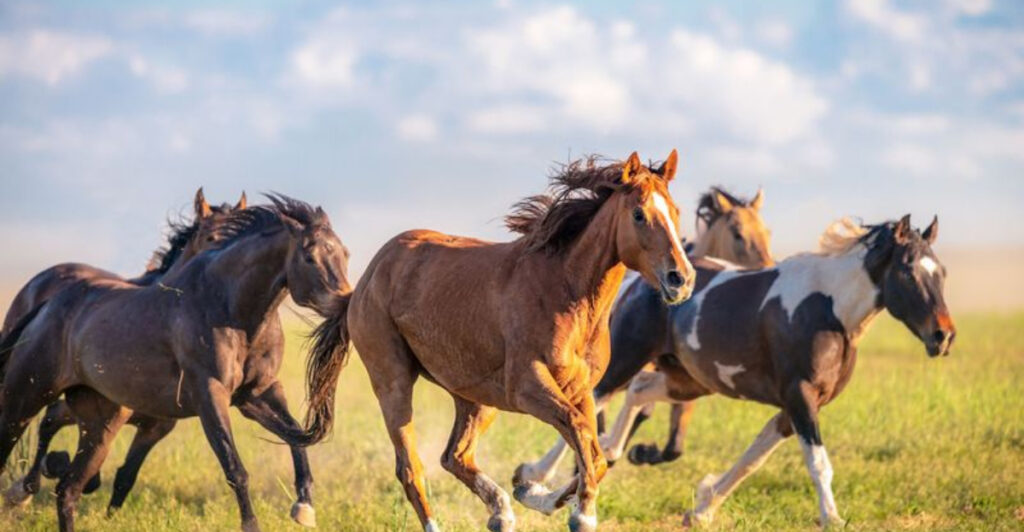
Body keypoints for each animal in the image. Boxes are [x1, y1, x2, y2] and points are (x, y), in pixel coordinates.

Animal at [282, 151, 696, 532]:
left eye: (675, 211)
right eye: (639, 214)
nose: (681, 278)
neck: (565, 293)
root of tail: (366, 280)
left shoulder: (581, 391)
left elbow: (594, 454)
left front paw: (532, 490)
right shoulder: (527, 388)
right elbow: (583, 439)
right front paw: (581, 514)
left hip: (476, 397)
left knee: (455, 456)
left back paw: (502, 512)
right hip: (393, 382)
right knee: (411, 469)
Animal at [516, 186, 775, 485]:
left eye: (766, 232)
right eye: (737, 233)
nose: (769, 267)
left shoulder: (683, 378)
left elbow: (672, 444)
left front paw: (640, 452)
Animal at [599, 215, 955, 528]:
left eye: (942, 272)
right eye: (908, 272)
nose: (943, 336)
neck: (830, 311)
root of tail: (637, 282)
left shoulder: (794, 406)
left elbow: (752, 460)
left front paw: (702, 509)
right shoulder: (800, 396)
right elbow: (818, 463)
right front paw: (832, 518)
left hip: (688, 381)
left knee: (638, 391)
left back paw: (611, 451)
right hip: (626, 360)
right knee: (597, 398)